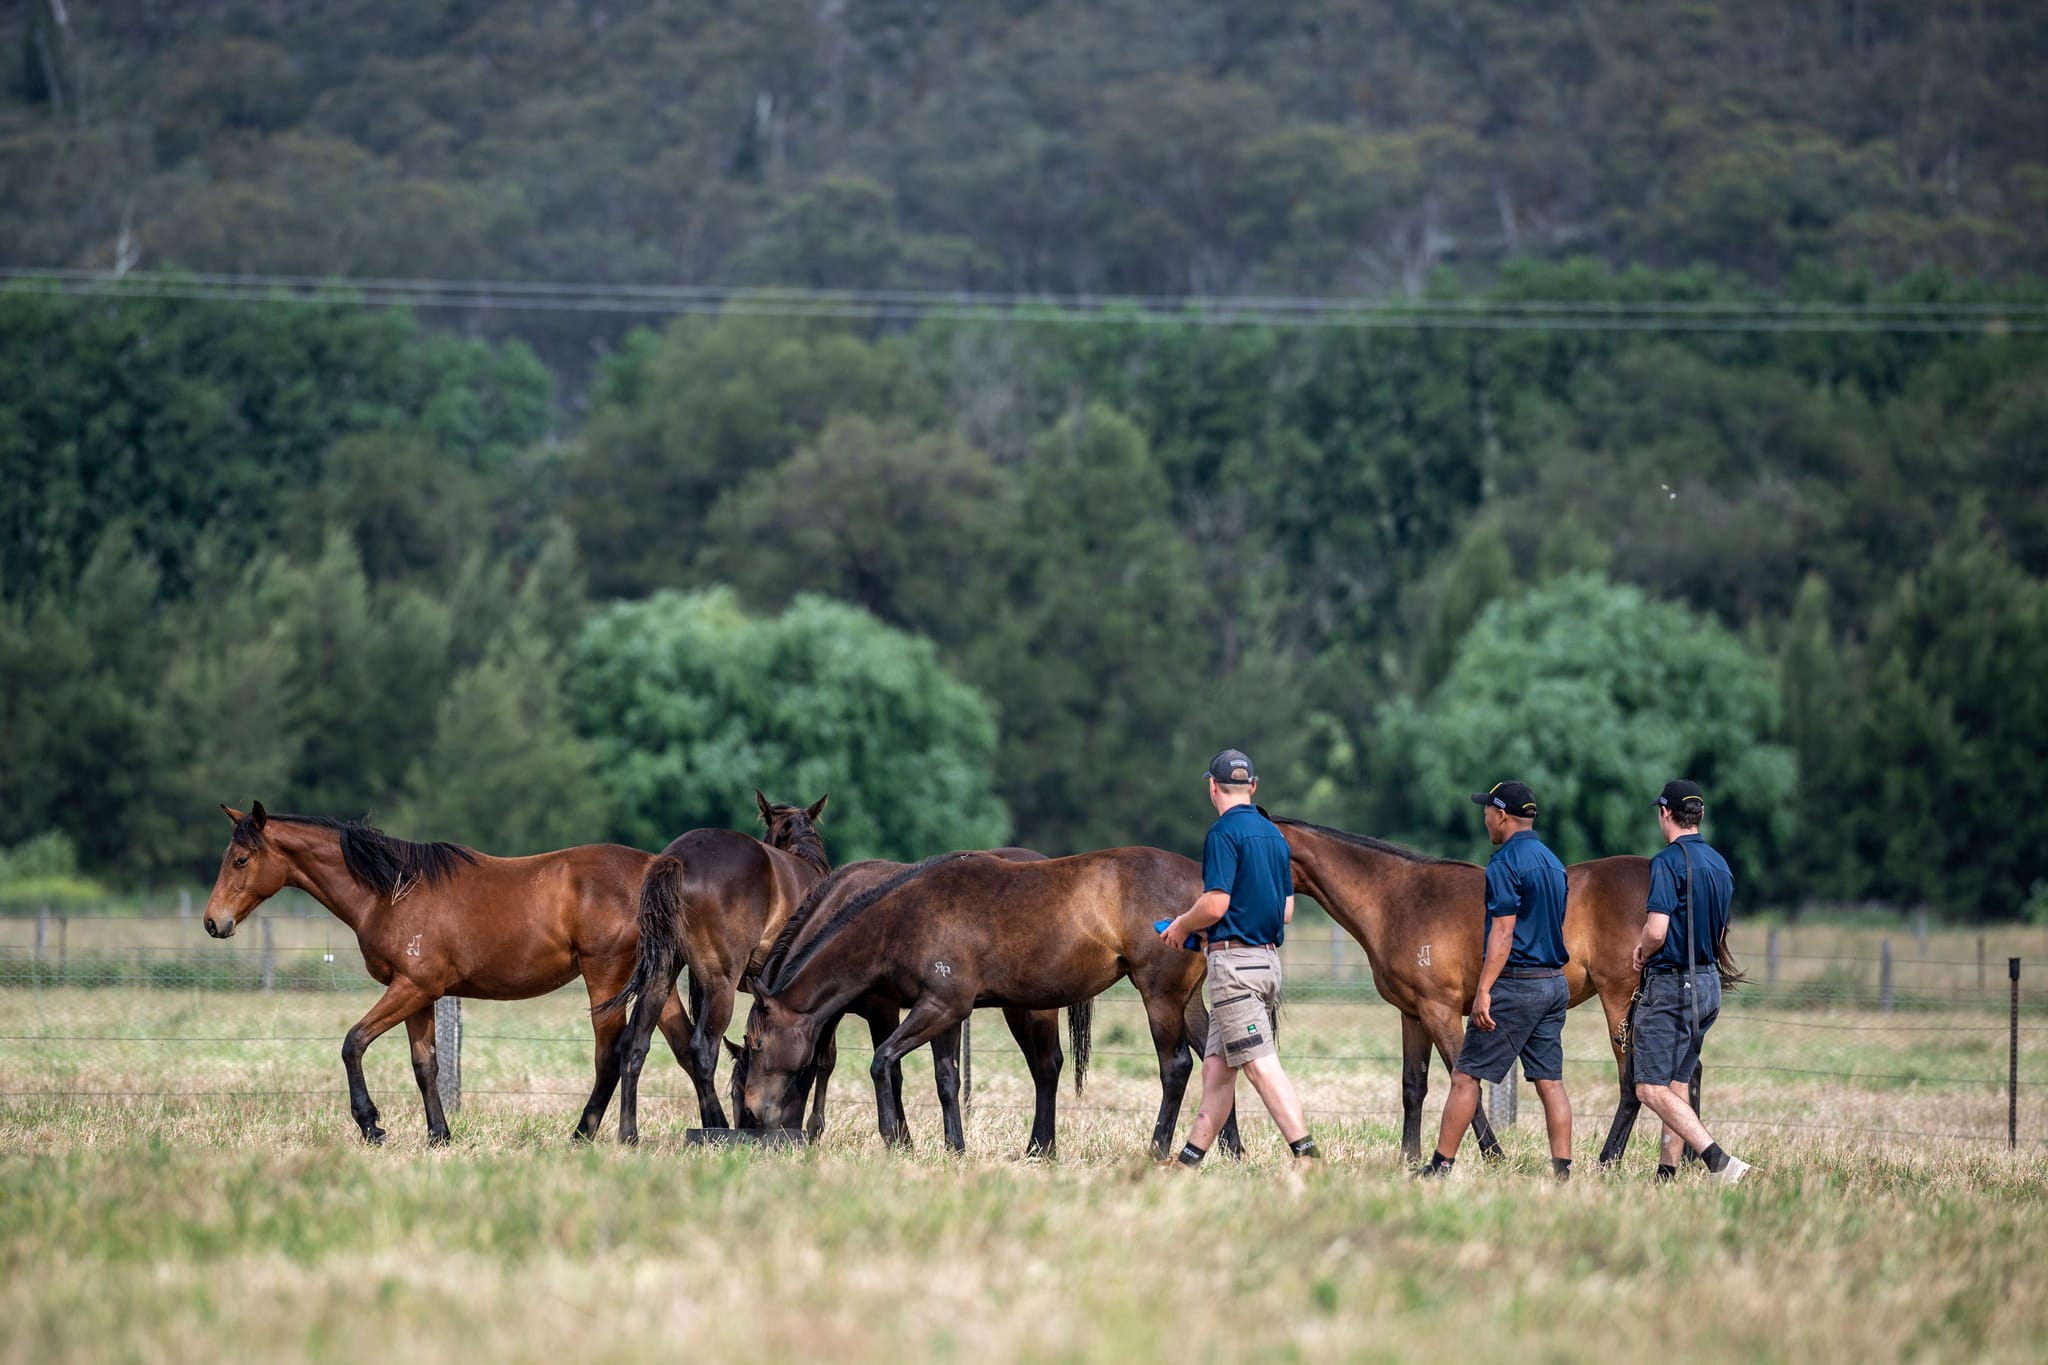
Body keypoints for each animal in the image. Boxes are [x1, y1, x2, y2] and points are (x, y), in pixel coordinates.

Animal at [200, 801, 698, 1145]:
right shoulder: (419, 995)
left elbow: (353, 1043)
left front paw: (370, 1124)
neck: (391, 891)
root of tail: (655, 867)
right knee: (681, 1049)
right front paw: (439, 1135)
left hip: (606, 980)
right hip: (656, 982)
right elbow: (425, 1065)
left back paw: (586, 1134)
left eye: (240, 860)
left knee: (610, 1056)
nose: (212, 922)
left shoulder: (410, 988)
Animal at [730, 846, 1219, 1159]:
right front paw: (954, 1148)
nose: (752, 1116)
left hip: (1159, 997)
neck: (901, 917)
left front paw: (894, 1140)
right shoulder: (944, 1014)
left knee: (1175, 1067)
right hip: (1183, 1000)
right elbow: (946, 1079)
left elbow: (882, 1061)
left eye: (757, 1044)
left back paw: (1156, 1150)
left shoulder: (939, 1007)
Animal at [1273, 818, 1738, 1164]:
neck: (1399, 899)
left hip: (1622, 1002)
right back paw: (1689, 1159)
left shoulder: (1440, 1010)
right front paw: (1408, 1159)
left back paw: (1610, 1159)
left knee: (1633, 1081)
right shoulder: (1413, 1013)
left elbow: (1465, 1084)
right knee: (1687, 1073)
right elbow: (1413, 1086)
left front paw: (1492, 1155)